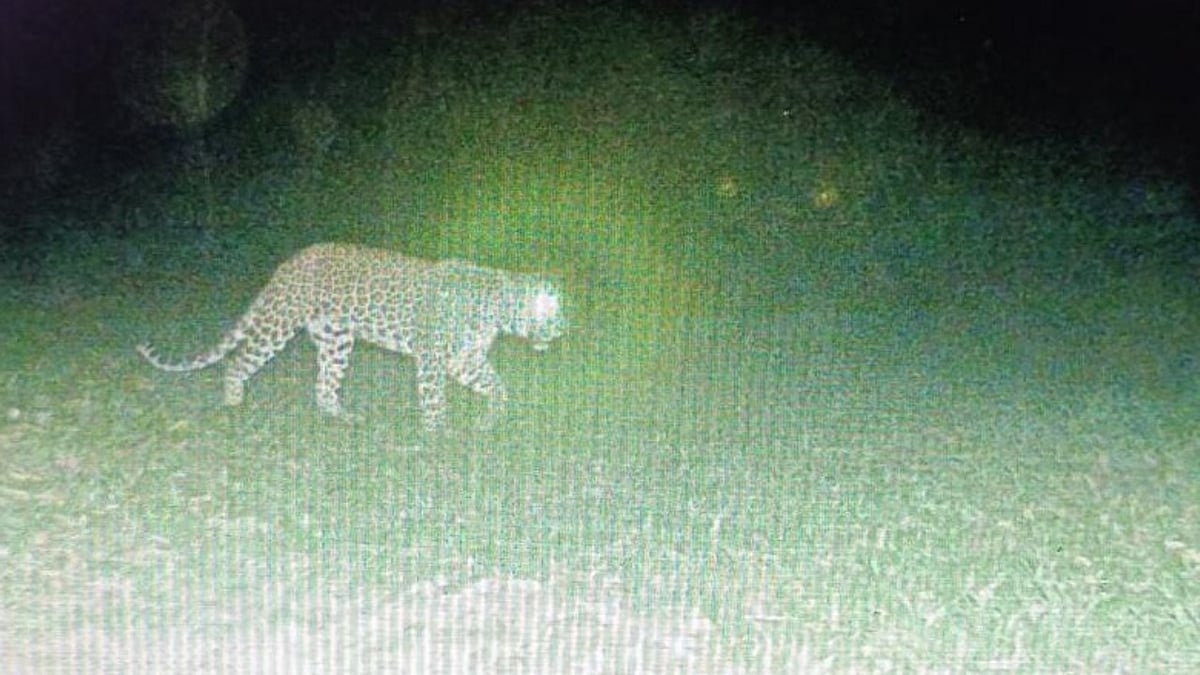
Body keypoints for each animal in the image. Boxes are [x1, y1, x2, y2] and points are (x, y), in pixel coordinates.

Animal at [136, 243, 565, 431]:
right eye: (555, 312)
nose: (564, 330)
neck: (497, 310)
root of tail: (286, 265)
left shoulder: (465, 359)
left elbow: (495, 384)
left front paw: (493, 416)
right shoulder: (433, 358)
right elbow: (434, 400)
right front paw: (437, 436)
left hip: (336, 340)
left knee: (324, 385)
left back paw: (342, 417)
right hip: (278, 325)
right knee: (237, 362)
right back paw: (233, 403)